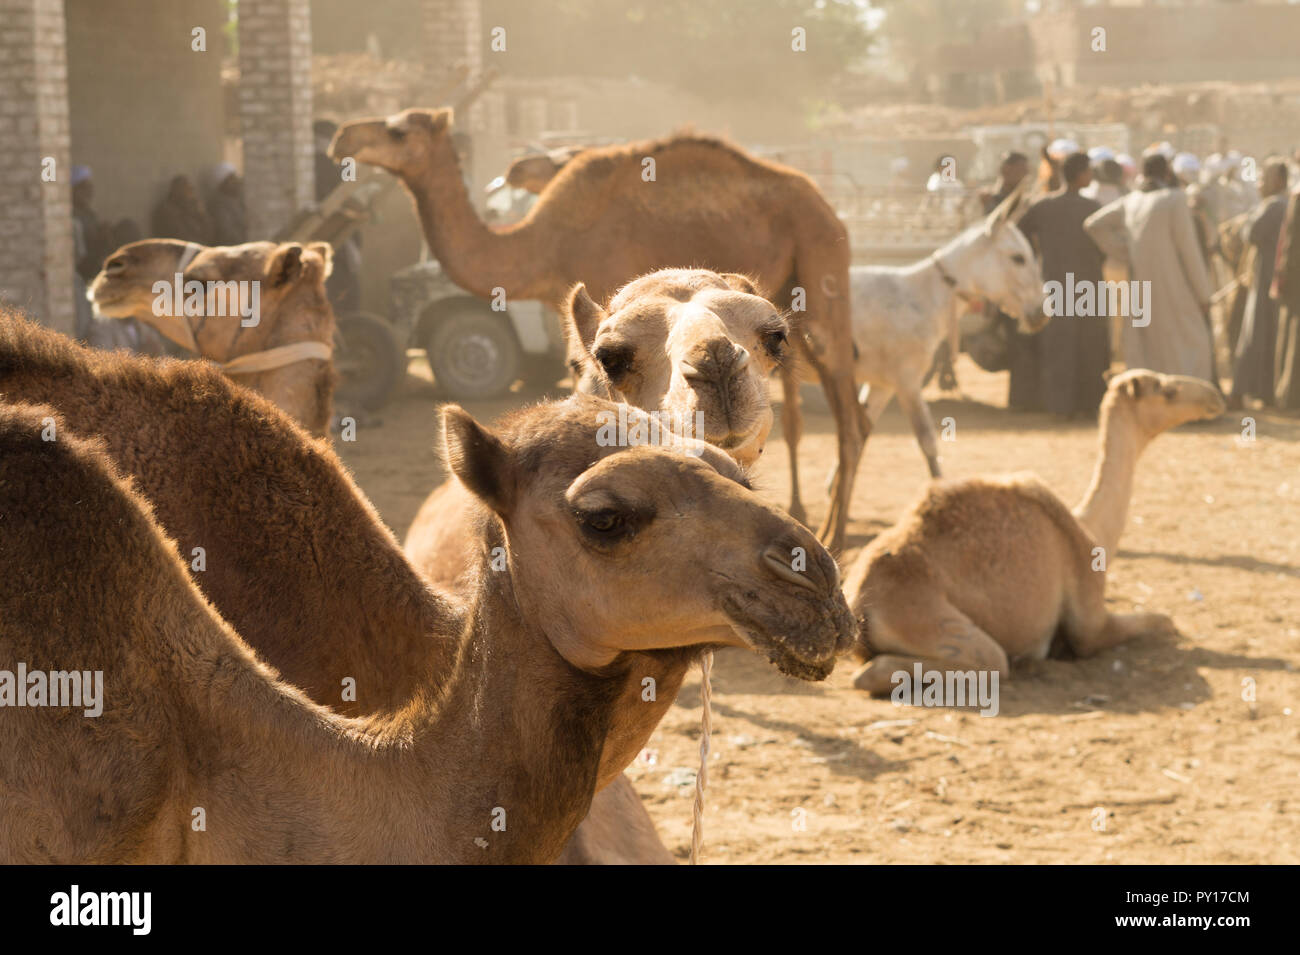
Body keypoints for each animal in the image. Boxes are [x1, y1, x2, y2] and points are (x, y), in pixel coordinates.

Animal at [330, 108, 866, 552]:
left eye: (399, 130)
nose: (342, 137)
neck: (541, 244)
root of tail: (827, 204)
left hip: (821, 267)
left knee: (848, 412)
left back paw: (834, 534)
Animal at [843, 369, 1224, 696]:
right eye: (1166, 391)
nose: (1214, 395)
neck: (1091, 530)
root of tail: (862, 606)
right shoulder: (1090, 618)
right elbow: (1162, 621)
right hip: (930, 619)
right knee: (981, 661)